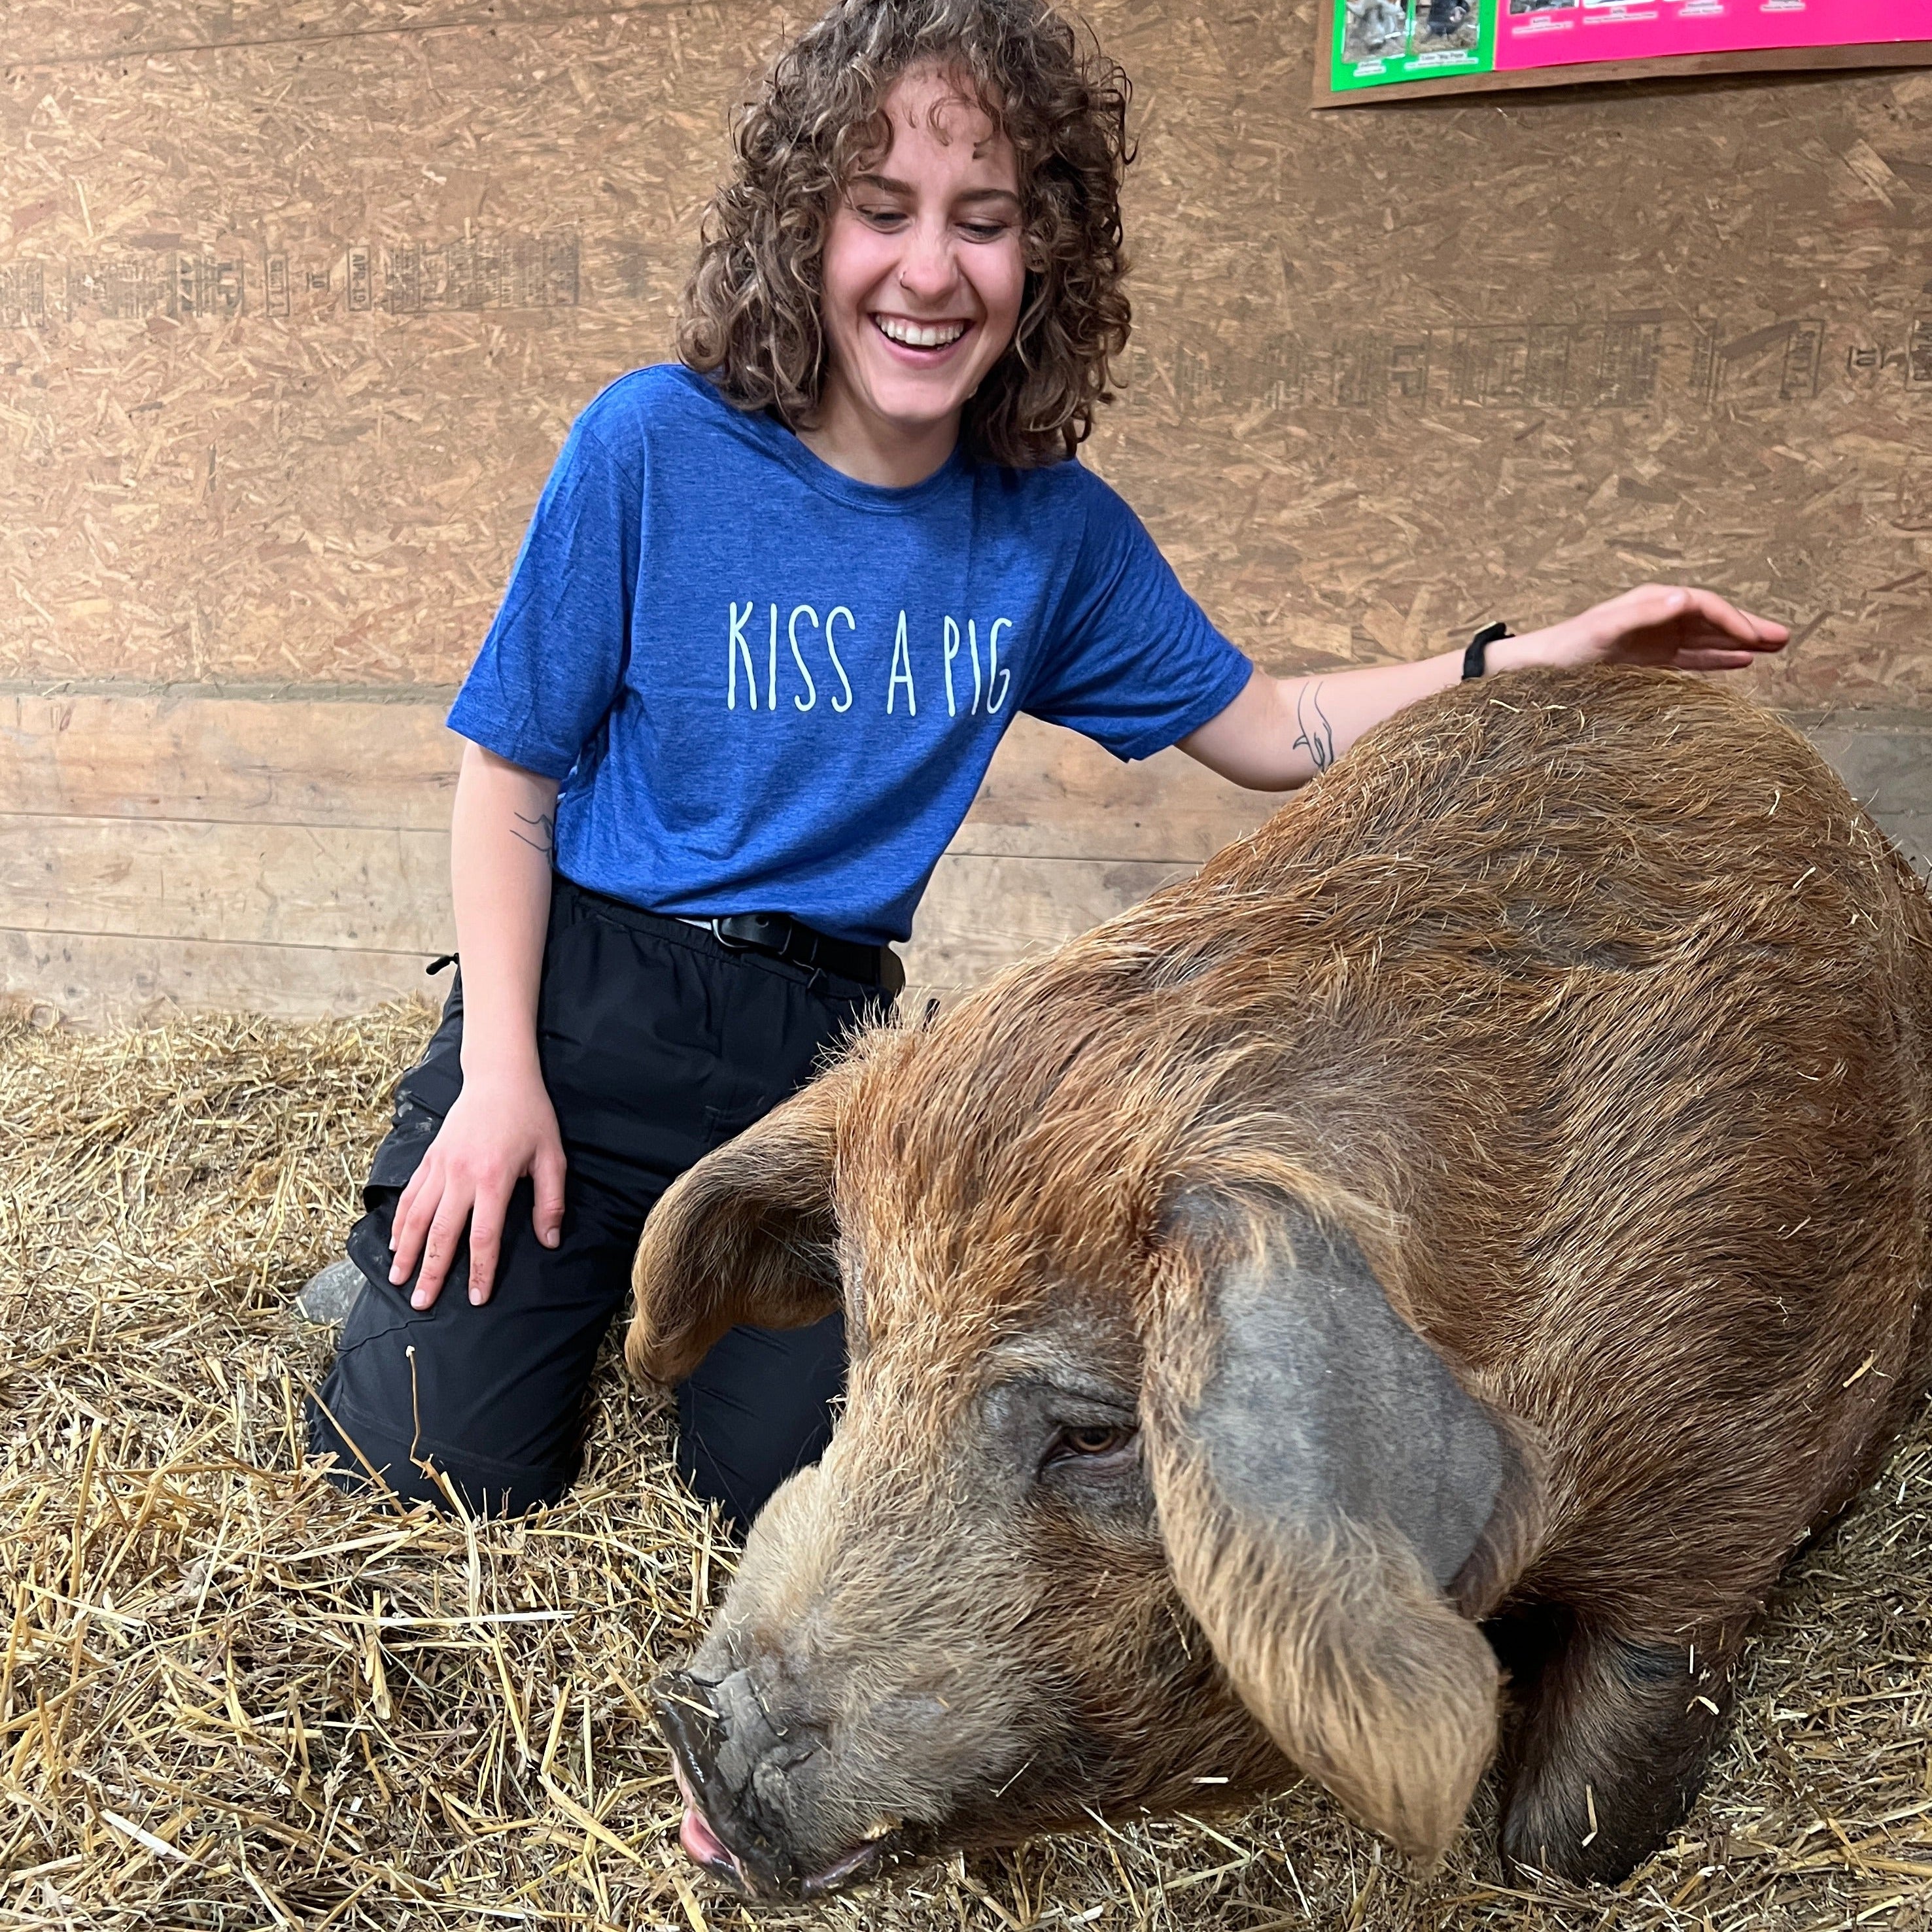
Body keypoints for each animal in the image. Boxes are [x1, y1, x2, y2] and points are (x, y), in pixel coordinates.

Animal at [626, 664, 1932, 1900]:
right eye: (865, 1347)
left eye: (1098, 1431)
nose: (693, 1724)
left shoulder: (1725, 1499)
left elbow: (1579, 1801)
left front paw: (1540, 1855)